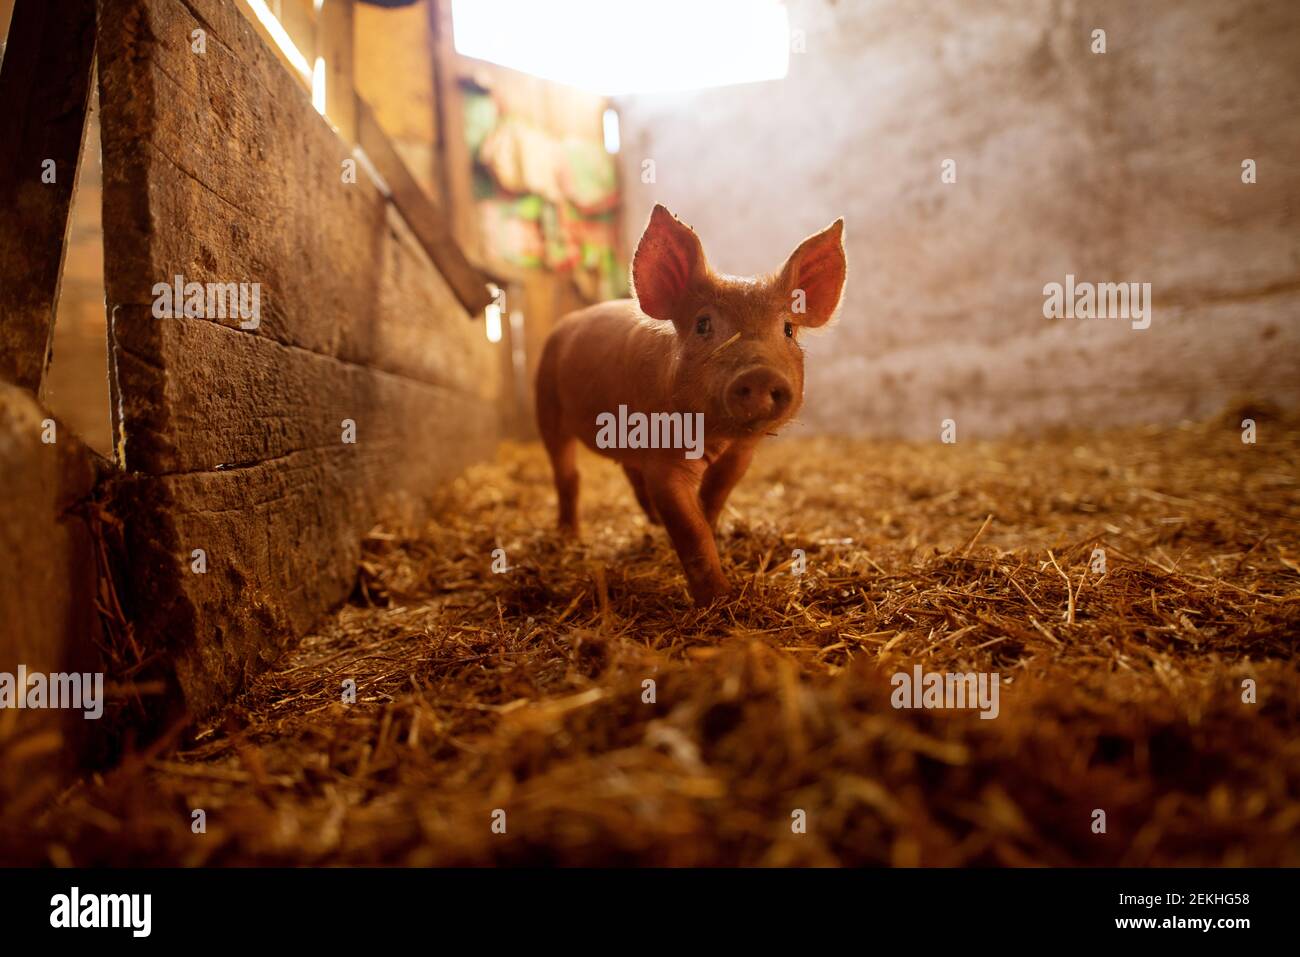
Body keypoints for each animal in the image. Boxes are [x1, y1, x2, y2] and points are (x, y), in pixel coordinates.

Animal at [535, 204, 847, 605]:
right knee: (568, 475)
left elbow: (712, 500)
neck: (714, 438)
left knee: (627, 471)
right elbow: (688, 526)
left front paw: (712, 534)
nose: (760, 372)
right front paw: (719, 599)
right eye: (703, 324)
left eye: (788, 329)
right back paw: (569, 536)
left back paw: (649, 521)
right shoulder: (663, 460)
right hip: (546, 405)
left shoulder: (740, 453)